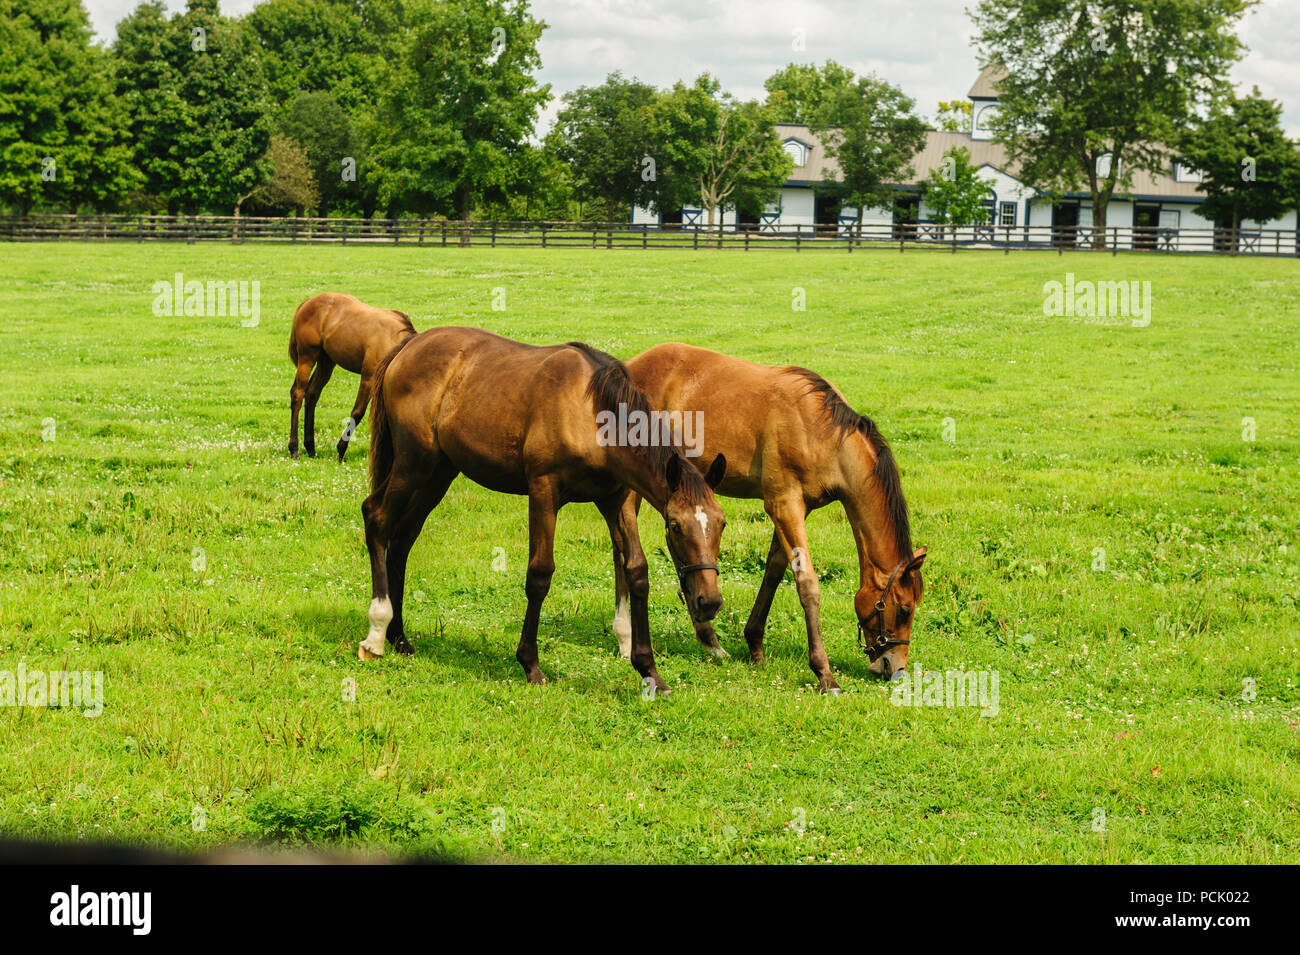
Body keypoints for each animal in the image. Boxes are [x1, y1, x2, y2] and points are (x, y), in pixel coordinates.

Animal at [287, 292, 417, 461]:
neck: (394, 340)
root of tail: (307, 302)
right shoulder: (368, 378)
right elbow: (357, 412)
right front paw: (341, 449)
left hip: (326, 362)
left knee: (312, 394)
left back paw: (310, 448)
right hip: (307, 357)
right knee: (298, 394)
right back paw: (294, 449)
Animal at [357, 327, 728, 693]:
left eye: (721, 524)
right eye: (676, 526)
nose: (709, 602)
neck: (591, 412)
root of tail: (409, 345)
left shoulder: (617, 501)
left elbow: (636, 571)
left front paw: (649, 670)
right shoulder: (543, 492)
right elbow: (539, 575)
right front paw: (530, 664)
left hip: (438, 473)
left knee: (402, 540)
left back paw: (399, 637)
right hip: (412, 464)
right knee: (376, 517)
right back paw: (376, 633)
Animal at [616, 343, 925, 694]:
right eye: (904, 609)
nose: (895, 668)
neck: (820, 433)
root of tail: (630, 366)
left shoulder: (794, 508)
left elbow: (774, 570)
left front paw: (755, 646)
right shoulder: (784, 504)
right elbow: (807, 584)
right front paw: (824, 673)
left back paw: (708, 638)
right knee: (624, 549)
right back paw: (628, 639)